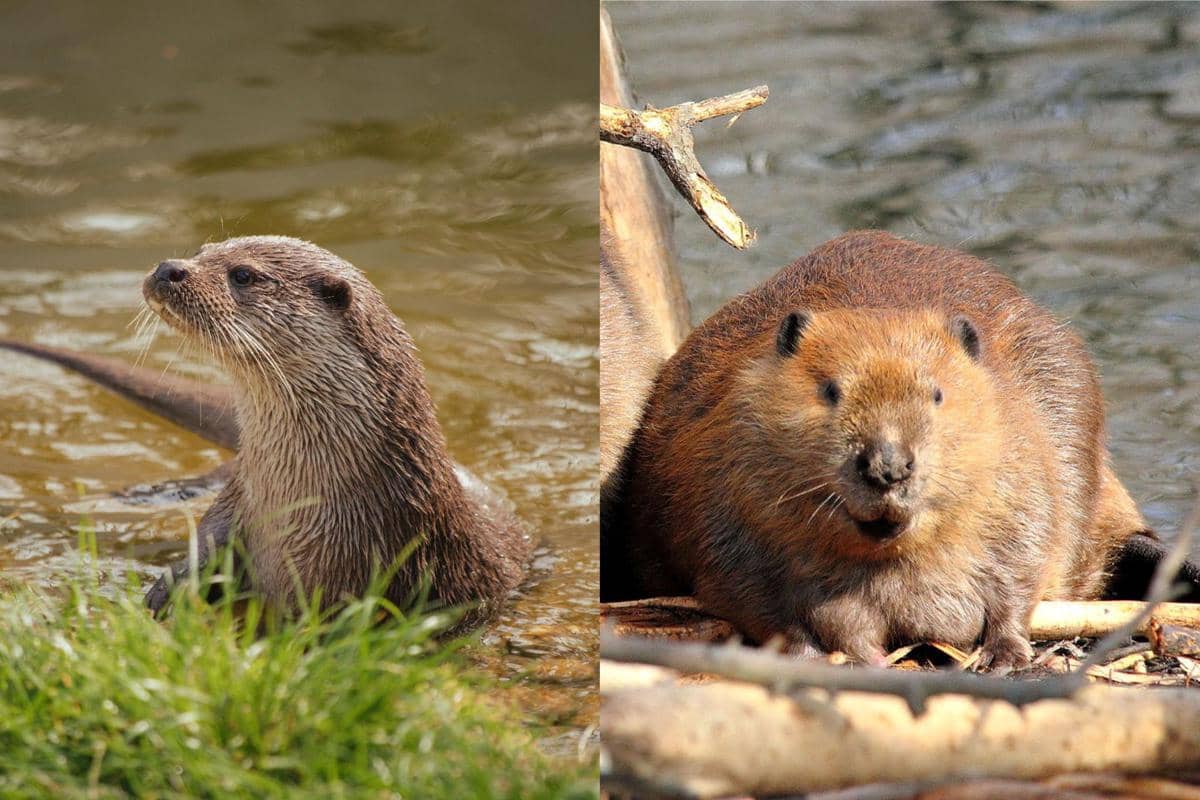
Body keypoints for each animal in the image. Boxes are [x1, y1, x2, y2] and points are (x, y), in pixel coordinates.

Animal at [3, 236, 529, 631]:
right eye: (204, 249)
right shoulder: (237, 502)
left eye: (242, 275)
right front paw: (157, 598)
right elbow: (201, 549)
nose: (170, 267)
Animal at [610, 230, 1197, 670]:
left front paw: (1004, 652)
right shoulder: (720, 481)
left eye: (937, 393)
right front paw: (837, 653)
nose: (888, 466)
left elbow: (1024, 560)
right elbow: (763, 594)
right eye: (830, 390)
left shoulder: (1024, 463)